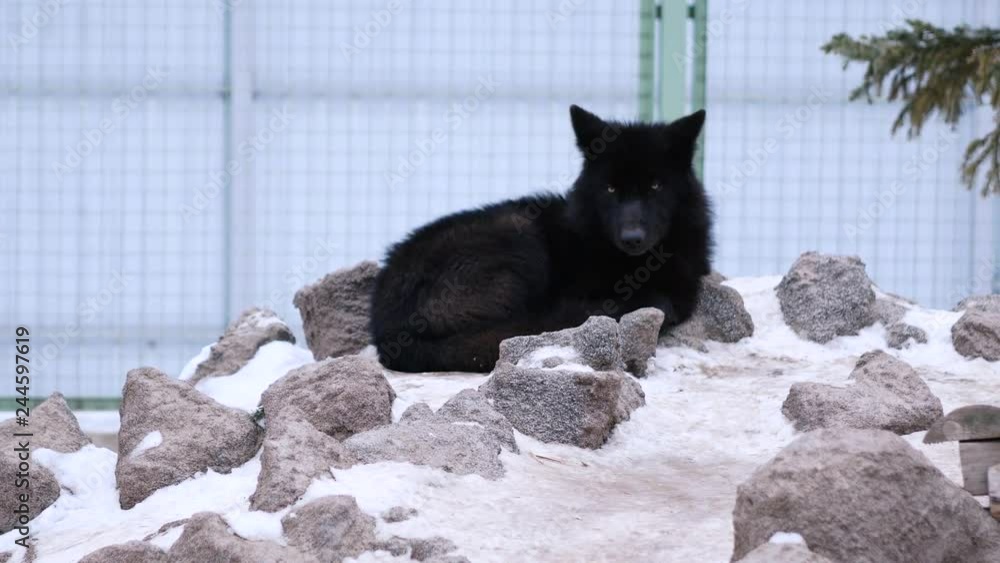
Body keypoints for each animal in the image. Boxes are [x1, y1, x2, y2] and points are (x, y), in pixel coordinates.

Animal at [370, 105, 712, 372]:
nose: (632, 238)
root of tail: (386, 330)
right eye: (610, 188)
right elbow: (664, 303)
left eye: (656, 186)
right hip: (522, 239)